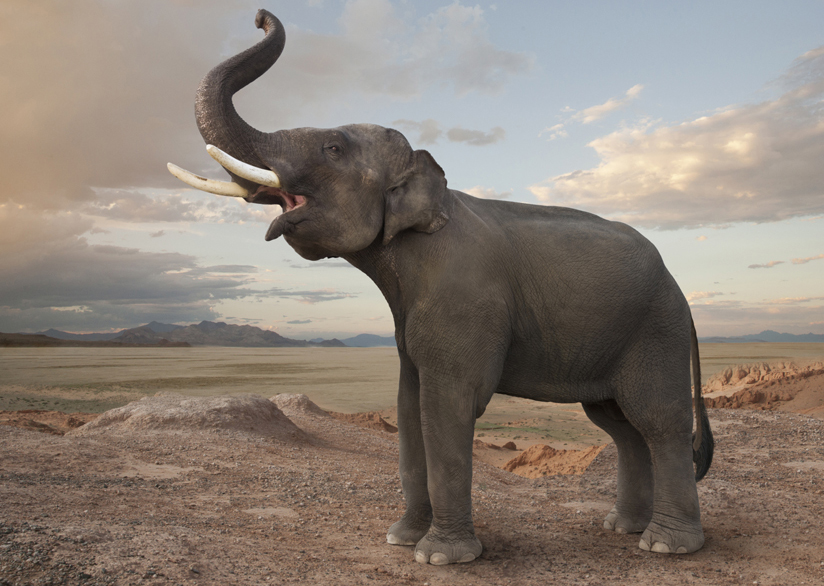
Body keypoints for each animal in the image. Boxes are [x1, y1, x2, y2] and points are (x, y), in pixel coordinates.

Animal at [169, 9, 714, 566]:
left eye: (333, 148)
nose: (260, 17)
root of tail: (680, 291)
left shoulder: (462, 303)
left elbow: (448, 408)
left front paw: (440, 557)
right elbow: (410, 409)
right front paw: (402, 538)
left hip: (655, 329)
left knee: (658, 421)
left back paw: (665, 544)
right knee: (619, 425)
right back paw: (624, 527)